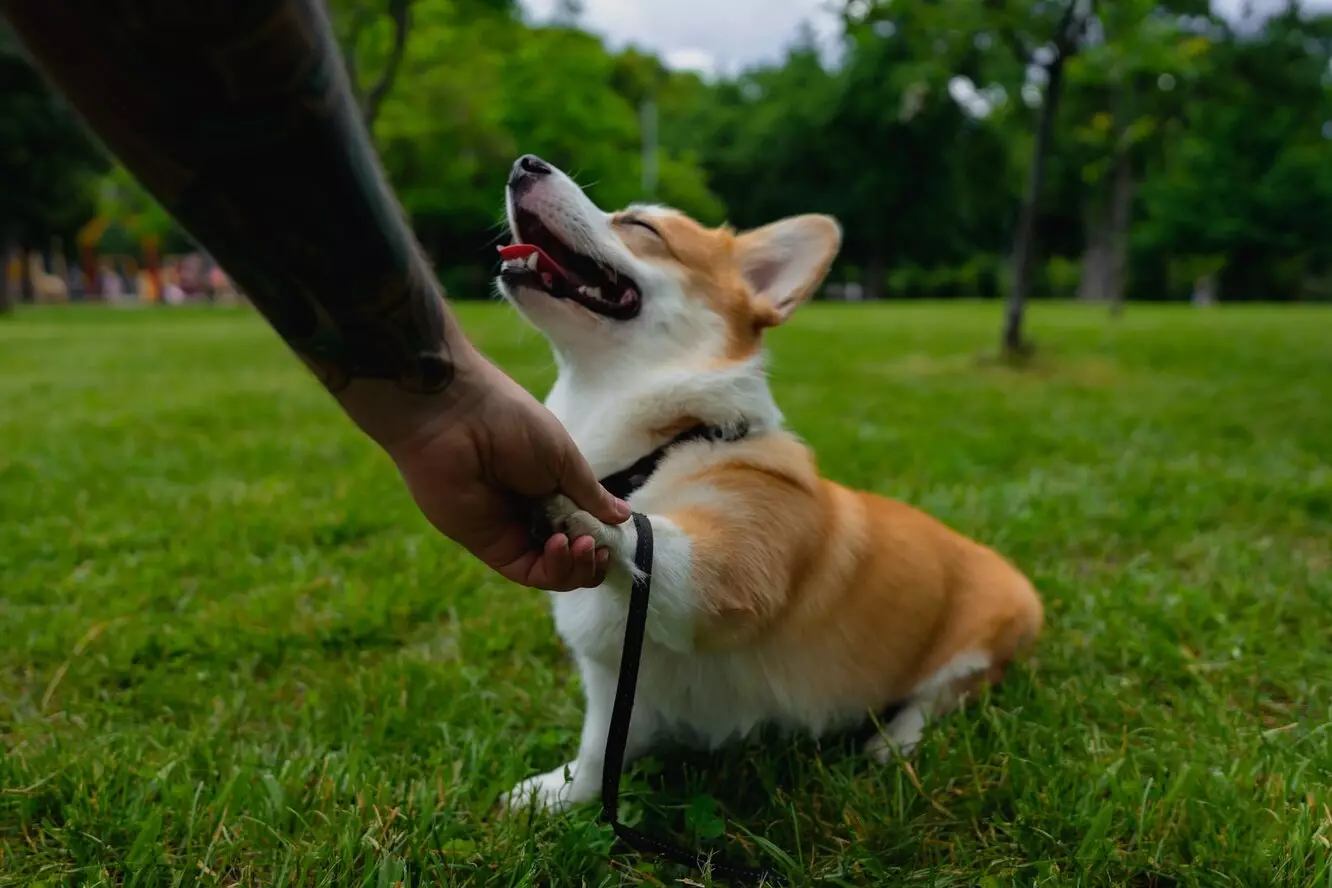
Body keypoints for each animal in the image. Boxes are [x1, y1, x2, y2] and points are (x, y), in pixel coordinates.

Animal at [495, 153, 1044, 814]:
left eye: (642, 227)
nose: (525, 163)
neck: (663, 444)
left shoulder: (727, 577)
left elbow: (647, 533)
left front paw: (581, 510)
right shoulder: (615, 686)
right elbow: (599, 754)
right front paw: (553, 795)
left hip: (980, 644)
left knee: (936, 700)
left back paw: (891, 744)